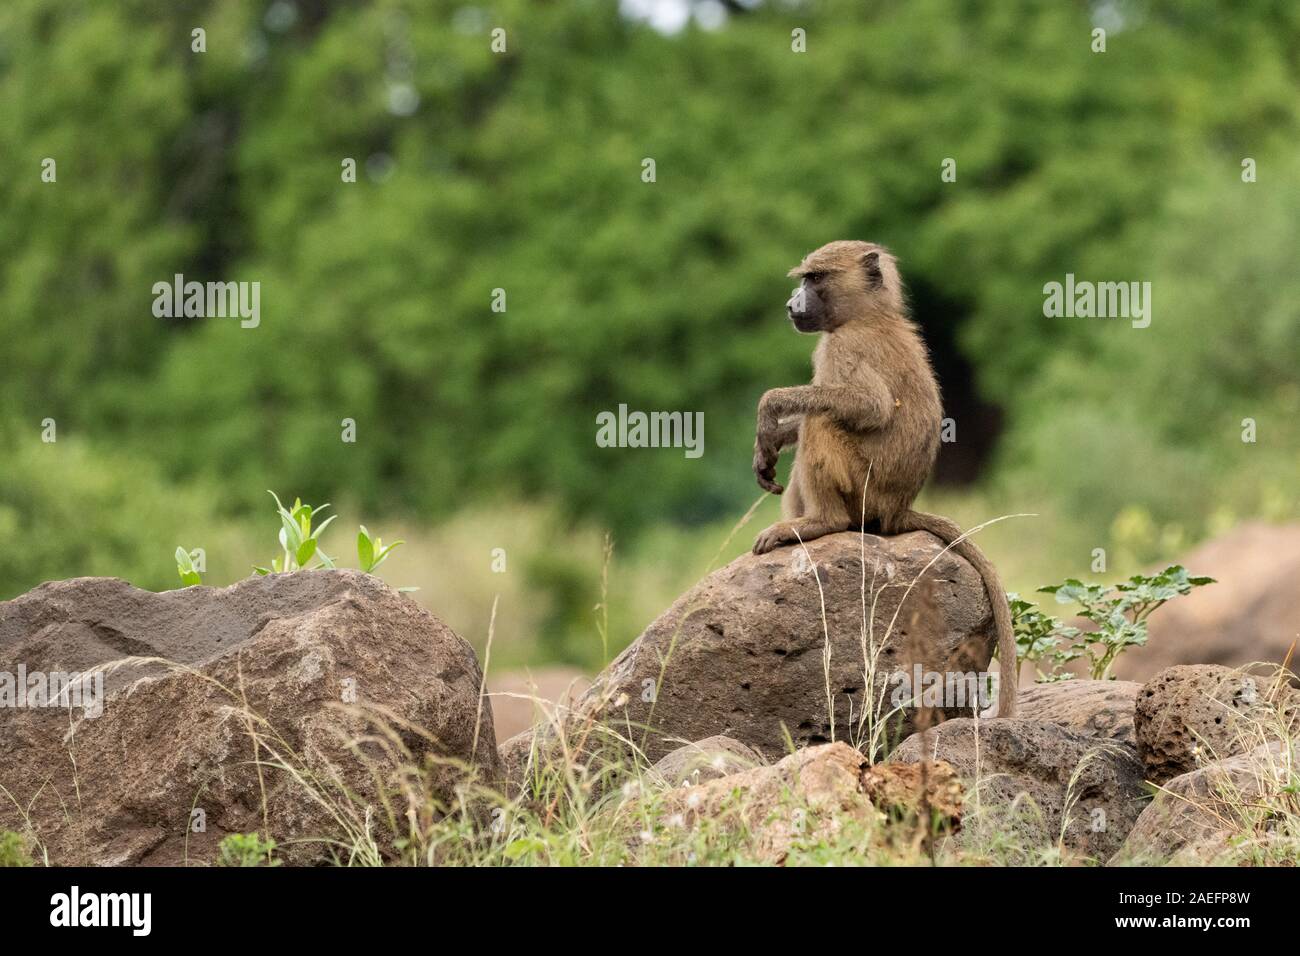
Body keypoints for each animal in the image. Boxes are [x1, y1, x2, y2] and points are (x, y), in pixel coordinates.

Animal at [750, 240, 1018, 718]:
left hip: (865, 493)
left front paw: (770, 407)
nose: (790, 305)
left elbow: (868, 406)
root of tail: (899, 510)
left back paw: (819, 523)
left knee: (823, 422)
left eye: (814, 278)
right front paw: (769, 442)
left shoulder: (844, 346)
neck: (868, 314)